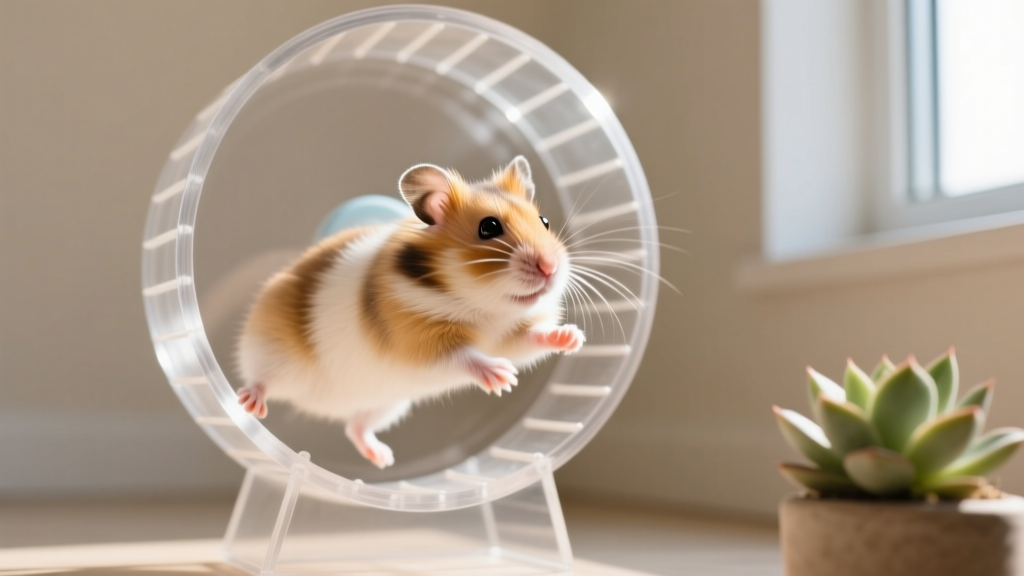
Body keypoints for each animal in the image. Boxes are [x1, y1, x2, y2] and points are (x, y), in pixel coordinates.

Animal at [235, 156, 584, 469]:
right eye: (488, 227)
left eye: (544, 221)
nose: (551, 268)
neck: (483, 306)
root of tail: (317, 407)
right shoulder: (419, 341)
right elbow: (464, 357)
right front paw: (503, 377)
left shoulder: (511, 336)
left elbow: (531, 338)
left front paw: (573, 338)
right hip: (274, 352)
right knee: (260, 379)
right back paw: (249, 405)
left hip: (387, 405)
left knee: (354, 427)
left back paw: (383, 459)